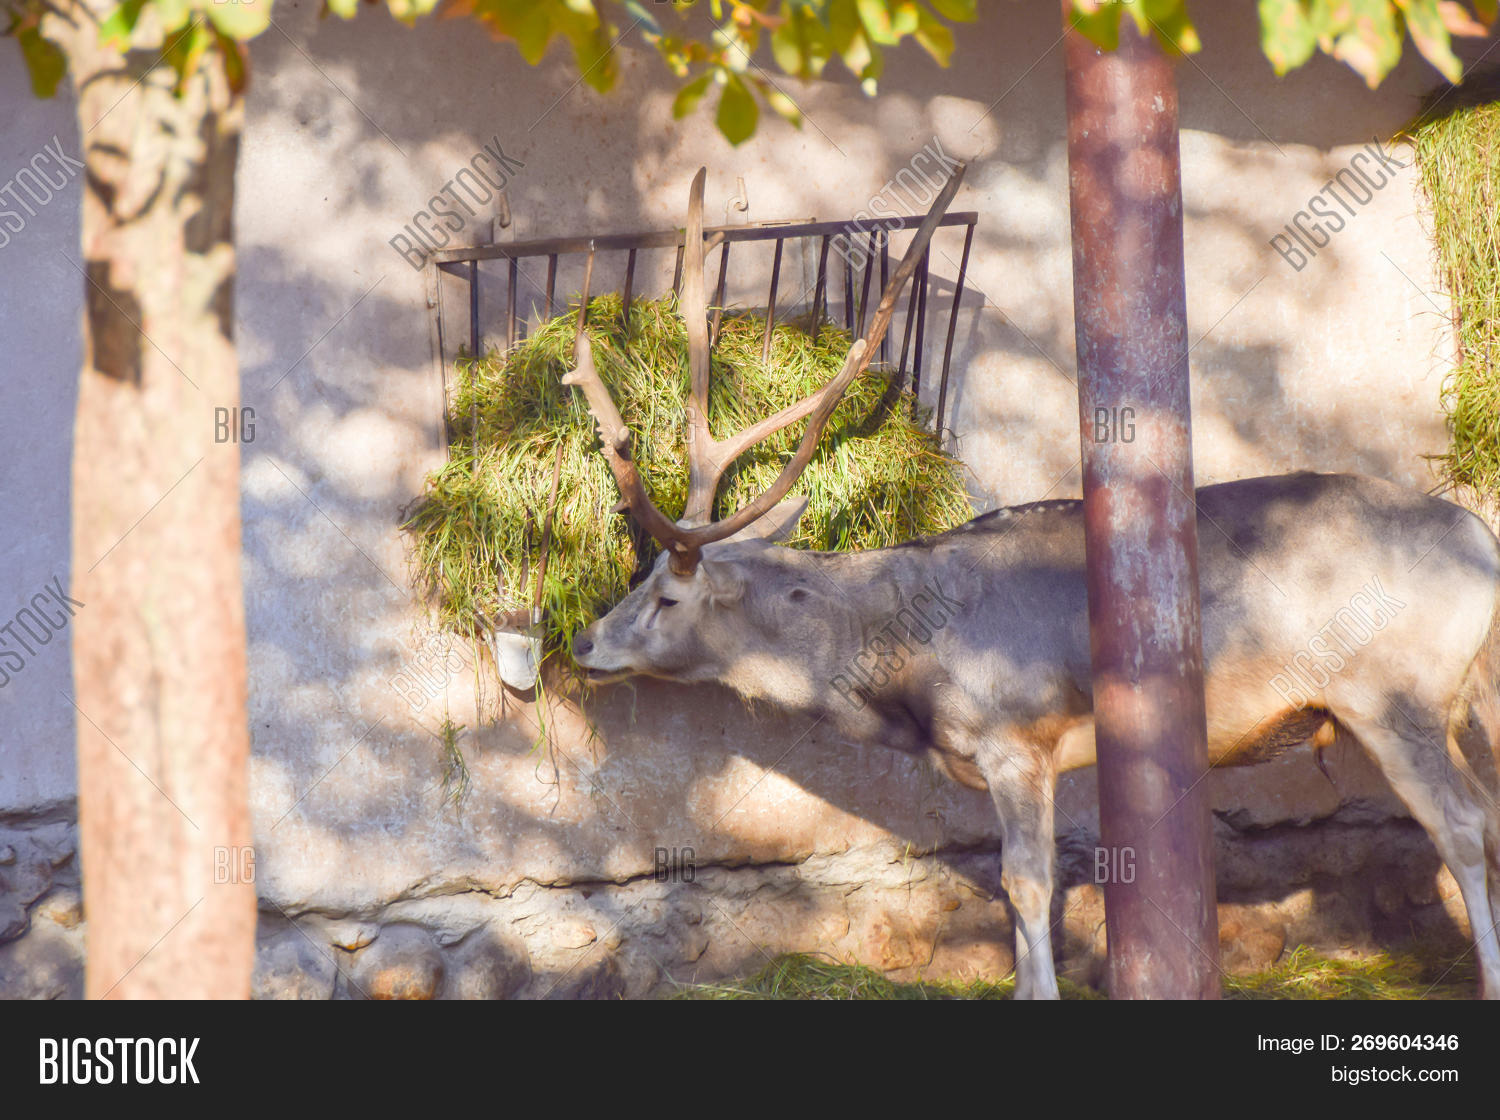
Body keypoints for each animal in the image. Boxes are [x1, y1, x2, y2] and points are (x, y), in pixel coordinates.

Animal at [564, 163, 1500, 1000]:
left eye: (667, 596)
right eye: (637, 577)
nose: (583, 641)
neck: (912, 677)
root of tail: (1481, 542)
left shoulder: (1020, 733)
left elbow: (1027, 883)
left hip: (1394, 693)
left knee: (1461, 825)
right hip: (1456, 701)